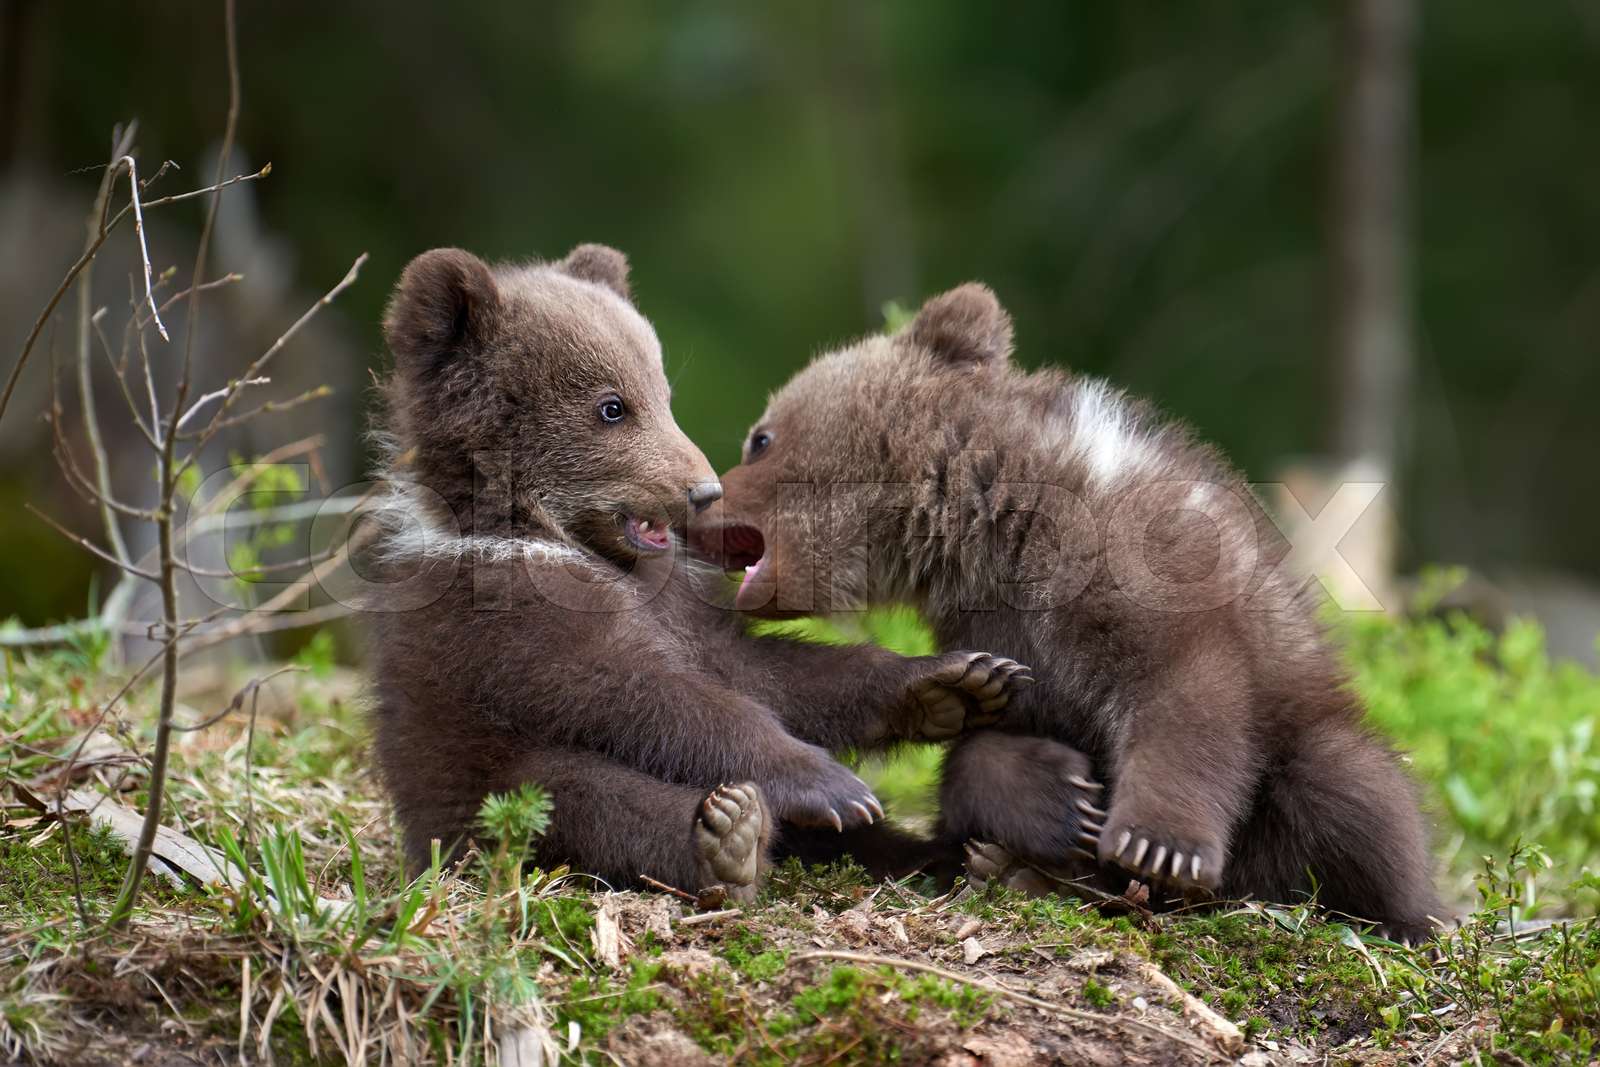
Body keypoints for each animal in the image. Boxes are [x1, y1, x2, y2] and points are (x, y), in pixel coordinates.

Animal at [364, 245, 1033, 902]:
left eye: (665, 396)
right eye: (612, 407)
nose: (702, 490)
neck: (554, 537)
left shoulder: (680, 606)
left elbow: (762, 672)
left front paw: (951, 683)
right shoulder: (507, 612)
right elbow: (645, 693)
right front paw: (830, 785)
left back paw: (952, 856)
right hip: (483, 789)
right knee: (584, 801)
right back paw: (728, 837)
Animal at [689, 281, 1442, 941]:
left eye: (760, 438)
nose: (700, 505)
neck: (987, 521)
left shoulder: (1153, 577)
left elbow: (1186, 693)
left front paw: (1158, 841)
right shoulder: (1001, 625)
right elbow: (993, 734)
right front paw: (1061, 798)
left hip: (1305, 742)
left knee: (1352, 794)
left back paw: (1400, 915)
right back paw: (1022, 868)